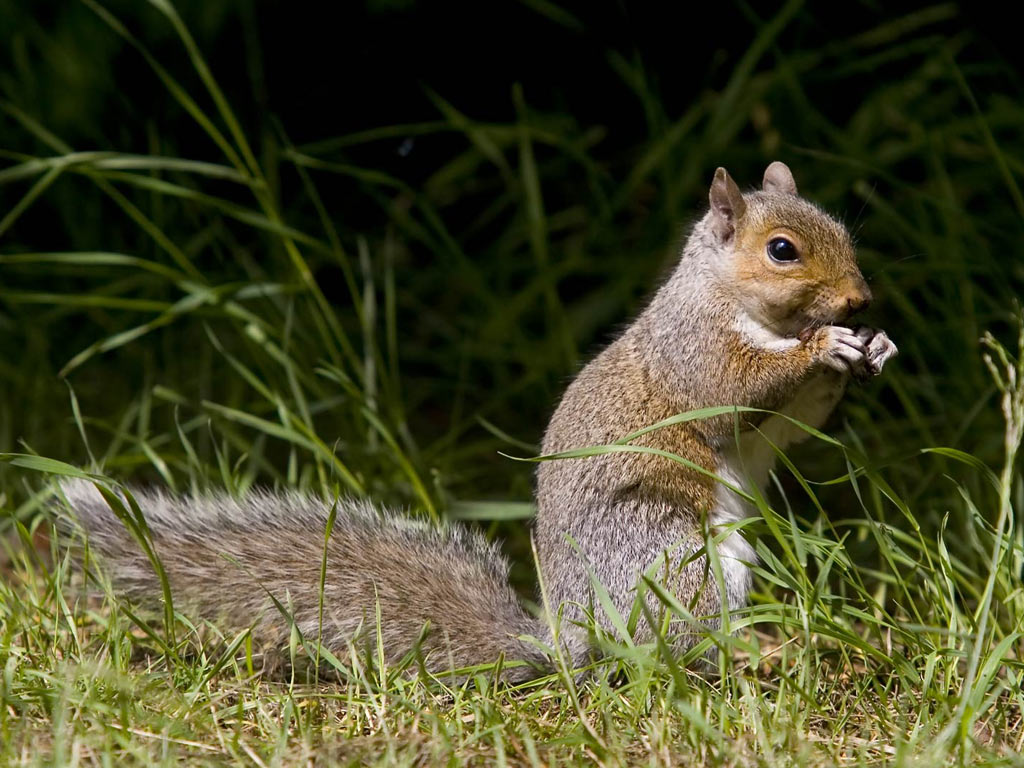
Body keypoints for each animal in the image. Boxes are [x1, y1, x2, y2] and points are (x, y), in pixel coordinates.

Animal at [61, 162, 897, 683]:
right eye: (782, 250)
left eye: (844, 231)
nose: (860, 301)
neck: (737, 302)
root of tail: (570, 643)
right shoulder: (692, 352)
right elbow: (736, 388)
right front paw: (826, 345)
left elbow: (792, 427)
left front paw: (871, 349)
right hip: (667, 555)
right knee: (661, 649)